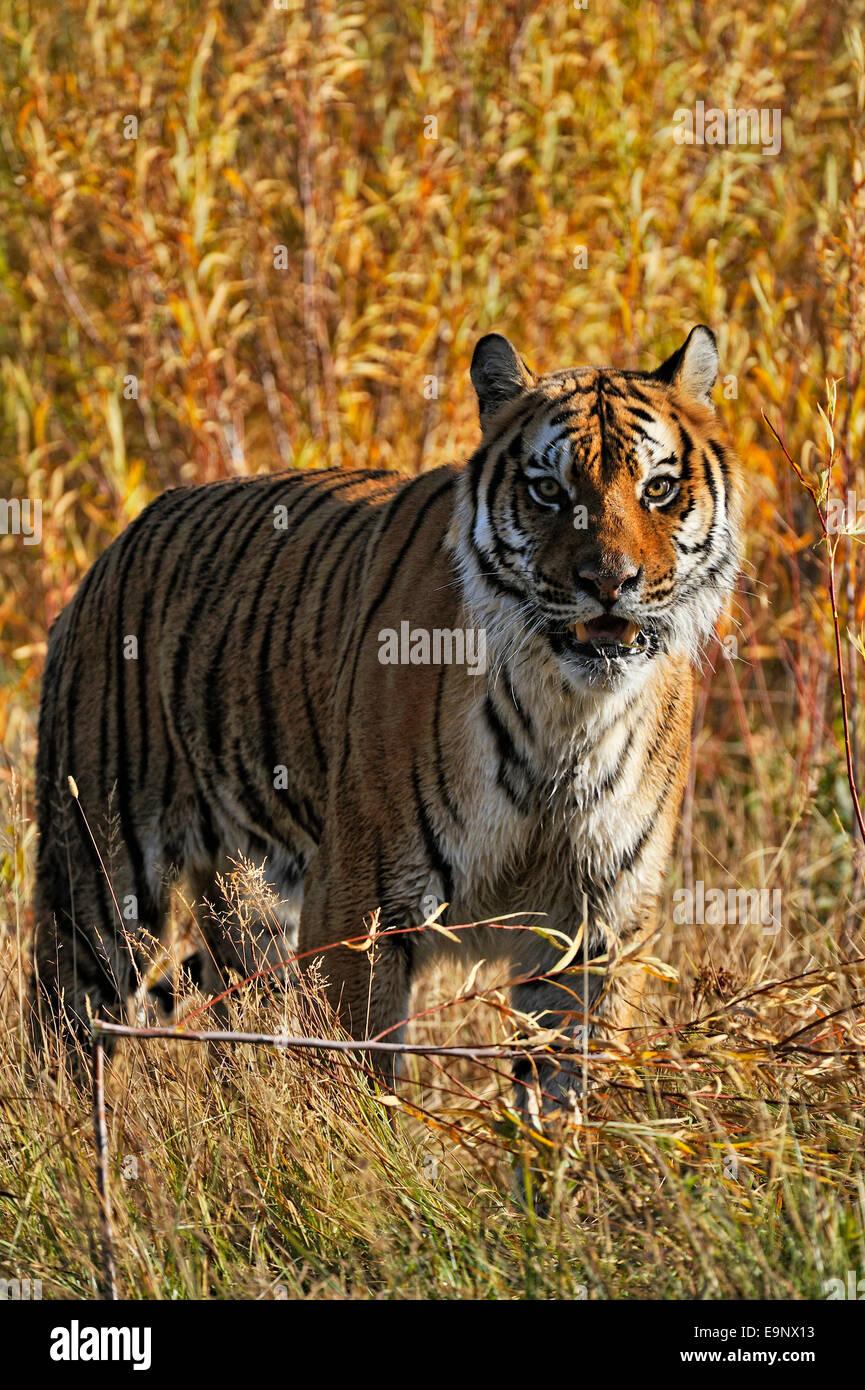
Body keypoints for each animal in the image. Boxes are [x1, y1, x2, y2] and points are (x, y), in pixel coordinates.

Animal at [32, 326, 742, 1113]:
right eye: (548, 491)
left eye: (659, 488)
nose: (609, 582)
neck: (566, 713)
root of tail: (115, 546)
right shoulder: (360, 906)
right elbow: (359, 1081)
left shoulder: (594, 928)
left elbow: (559, 1098)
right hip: (102, 873)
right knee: (65, 1026)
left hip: (254, 906)